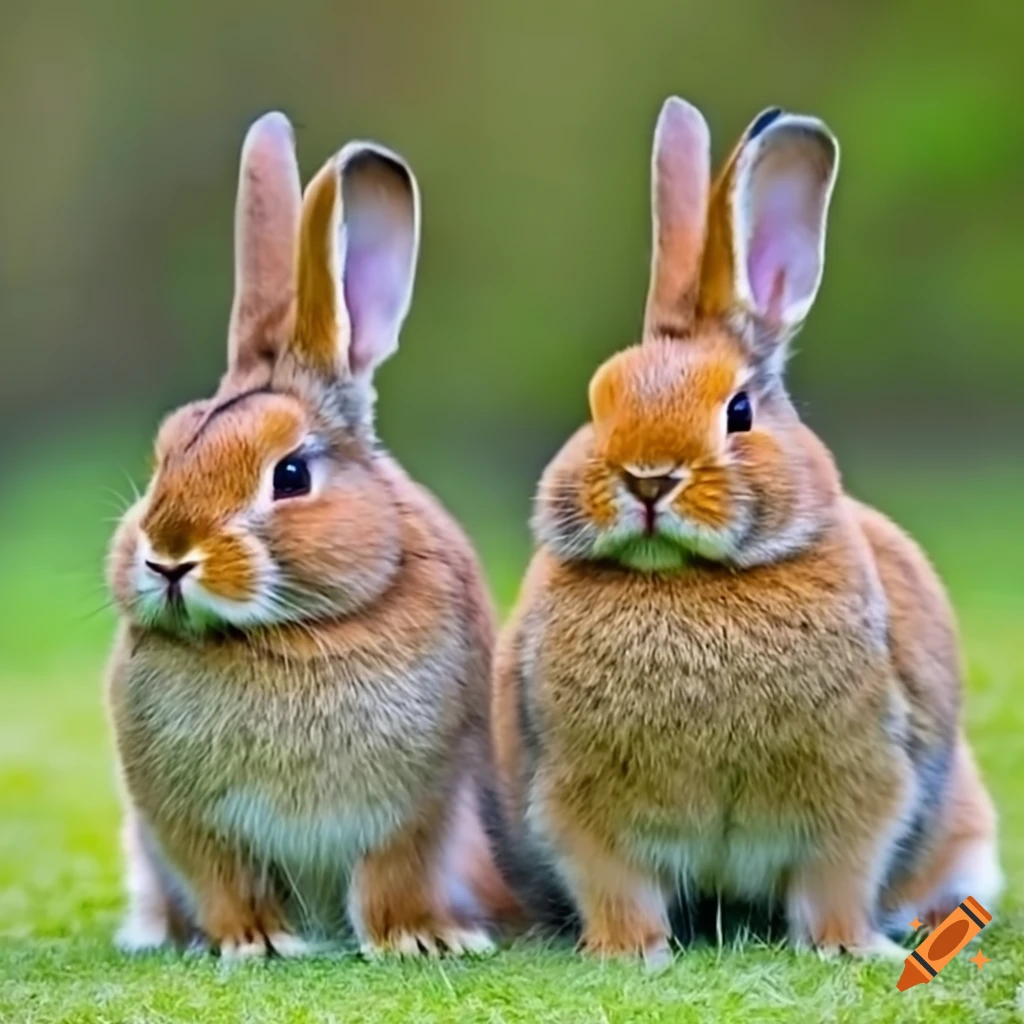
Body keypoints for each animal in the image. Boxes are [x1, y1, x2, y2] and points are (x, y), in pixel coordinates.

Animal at [105, 111, 516, 959]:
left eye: (290, 475)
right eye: (167, 453)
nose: (167, 559)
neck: (289, 633)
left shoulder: (421, 807)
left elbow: (393, 877)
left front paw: (420, 941)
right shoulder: (188, 827)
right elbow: (226, 883)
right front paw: (256, 943)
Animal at [488, 97, 1002, 961]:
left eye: (738, 411)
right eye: (599, 400)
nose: (649, 478)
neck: (689, 580)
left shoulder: (863, 793)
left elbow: (838, 880)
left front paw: (844, 947)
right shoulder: (576, 813)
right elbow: (616, 888)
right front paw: (632, 953)